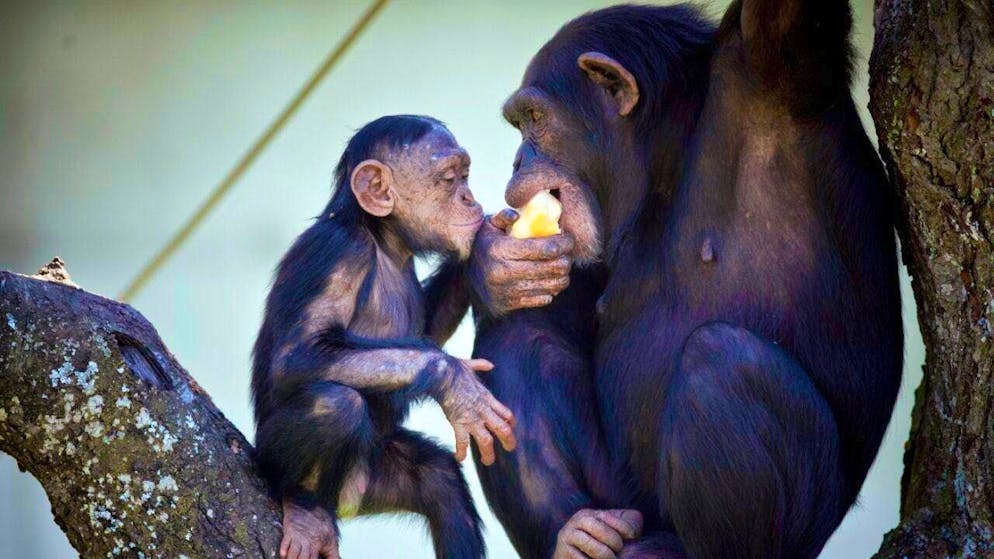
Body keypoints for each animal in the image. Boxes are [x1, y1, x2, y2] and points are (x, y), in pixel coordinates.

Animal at [252, 115, 516, 559]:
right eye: (450, 178)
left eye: (465, 176)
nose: (469, 198)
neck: (383, 238)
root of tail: (345, 503)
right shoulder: (337, 252)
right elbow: (301, 353)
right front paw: (457, 383)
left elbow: (427, 330)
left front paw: (485, 257)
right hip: (269, 461)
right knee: (334, 406)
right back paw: (306, 514)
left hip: (376, 478)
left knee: (442, 483)